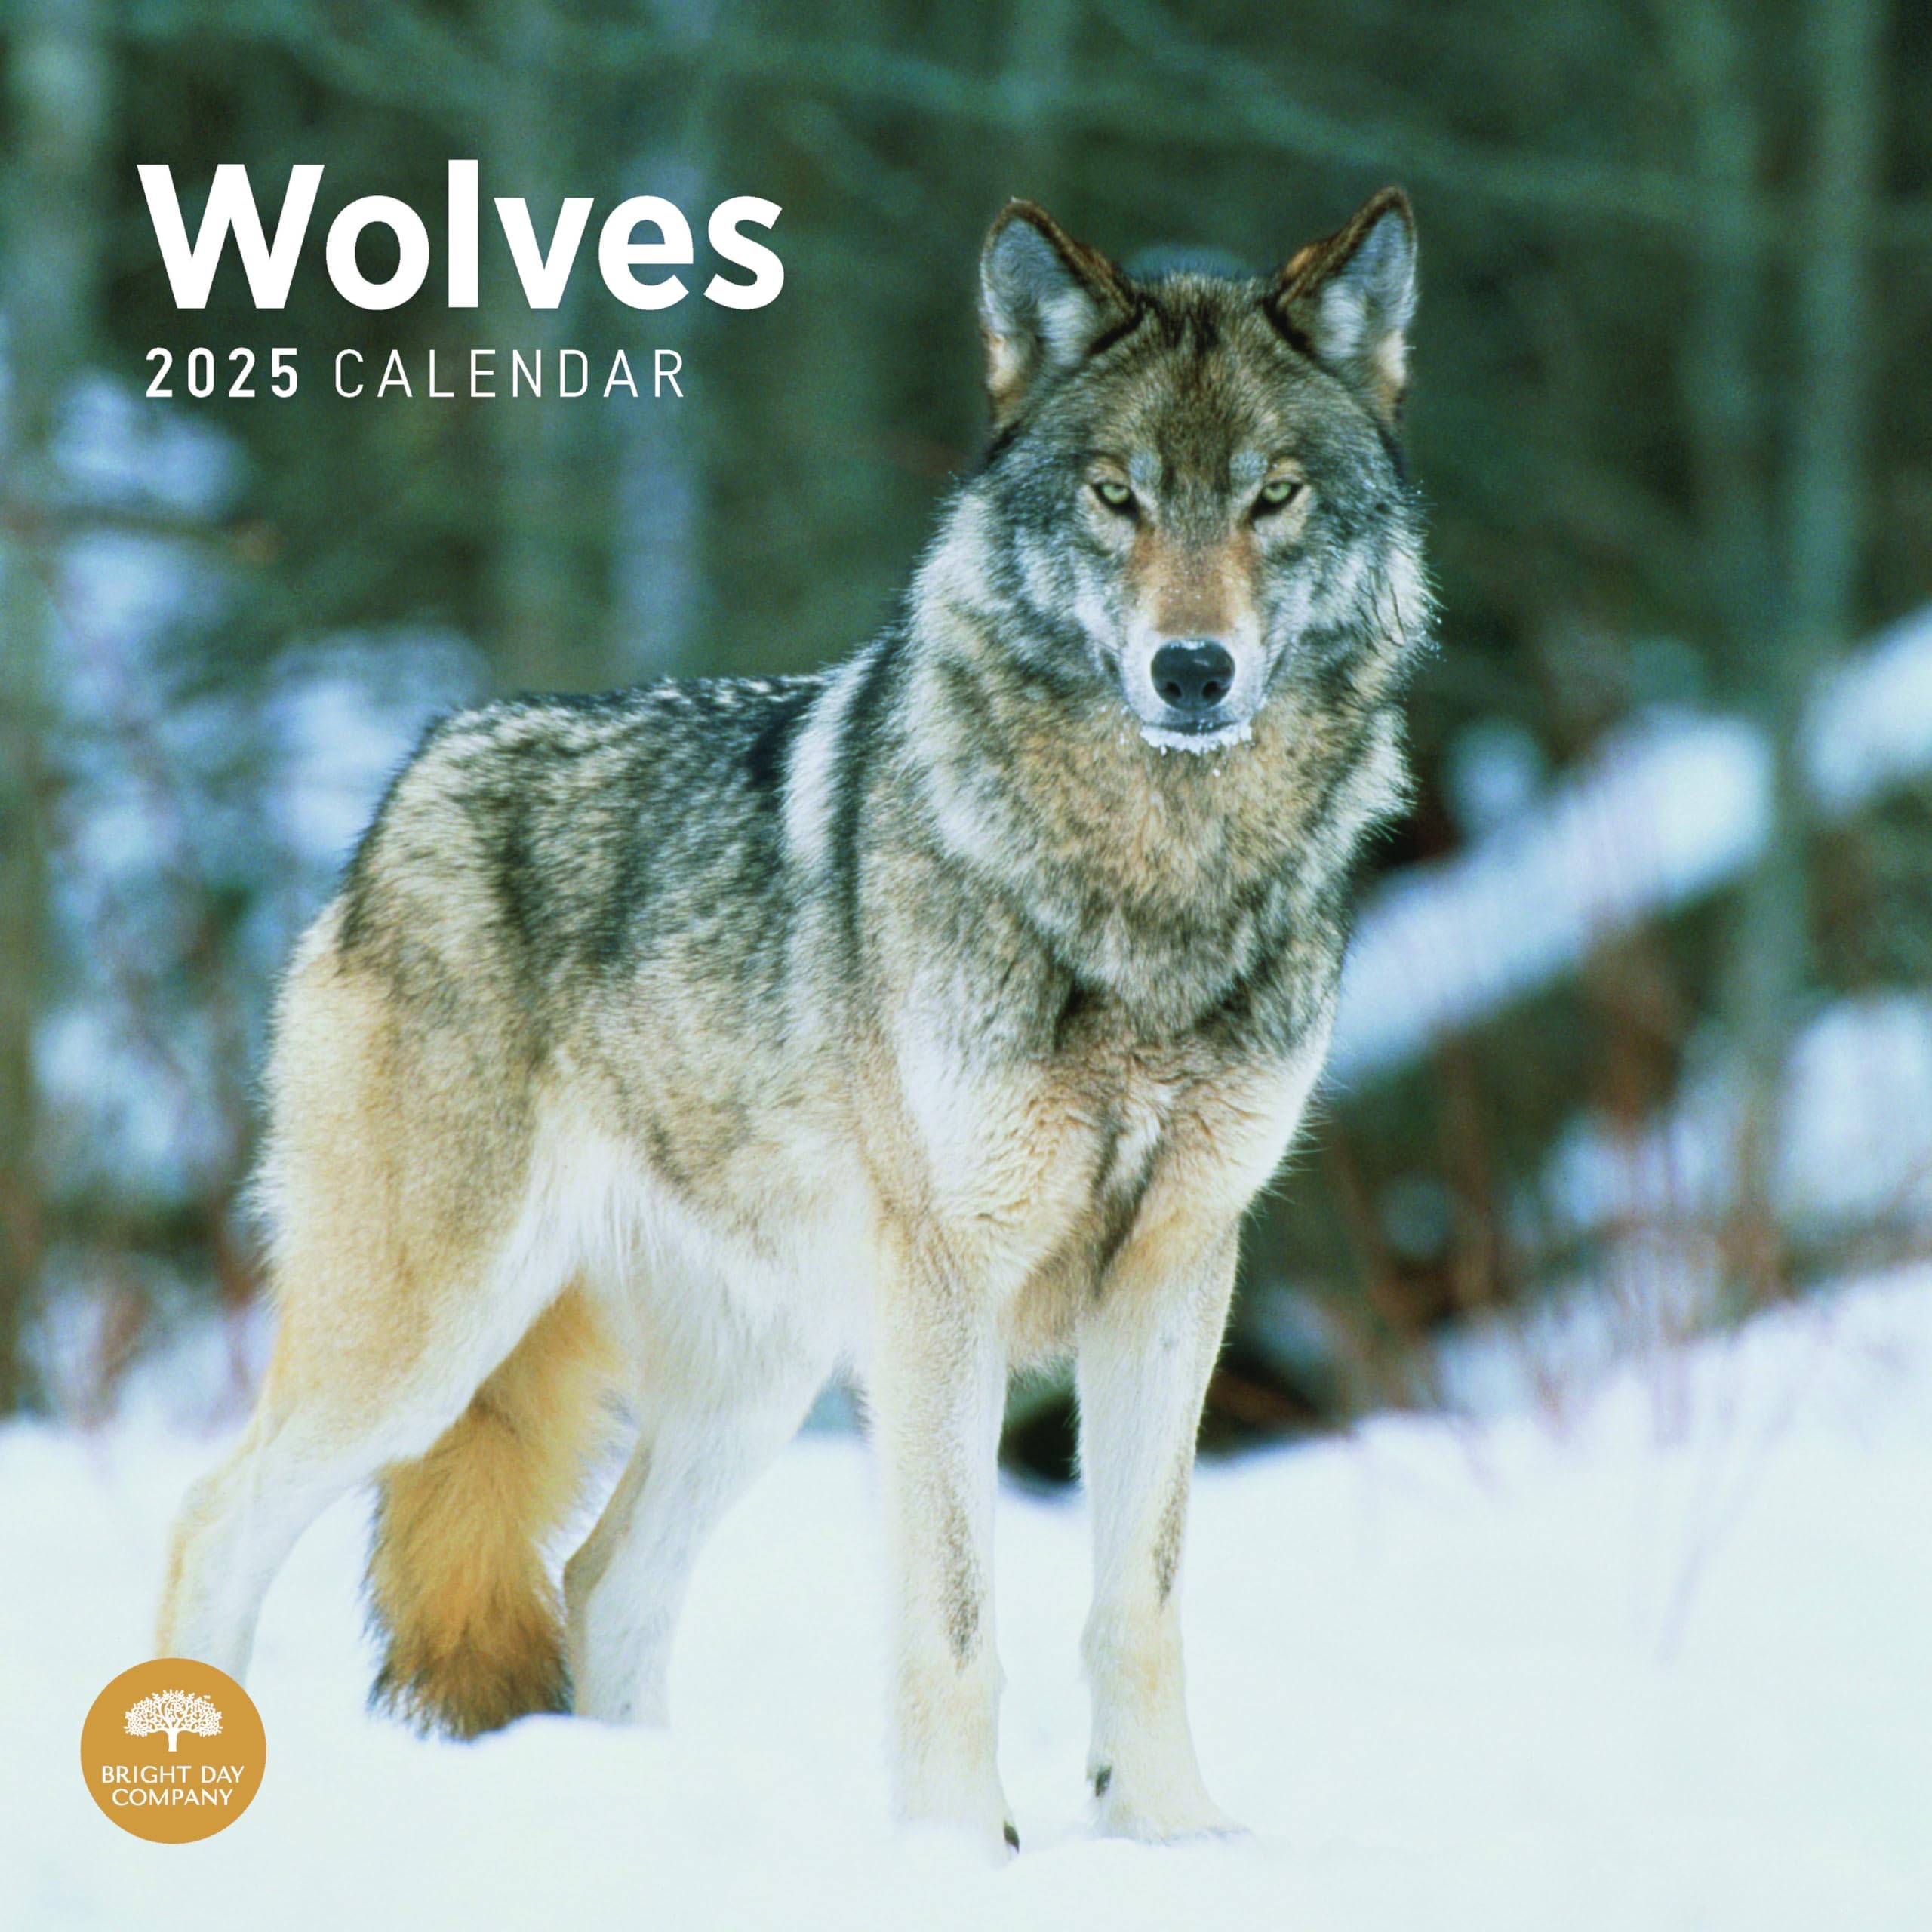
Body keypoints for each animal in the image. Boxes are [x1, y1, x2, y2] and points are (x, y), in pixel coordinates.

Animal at [157, 187, 1430, 1854]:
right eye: (1115, 497)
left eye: (1272, 497)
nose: (1194, 670)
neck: (1150, 885)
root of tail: (409, 784)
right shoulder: (948, 1291)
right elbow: (953, 1623)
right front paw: (962, 1853)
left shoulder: (1176, 1265)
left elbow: (1135, 1604)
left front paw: (1172, 1840)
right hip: (428, 1343)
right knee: (210, 1520)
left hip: (756, 1382)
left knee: (597, 1586)